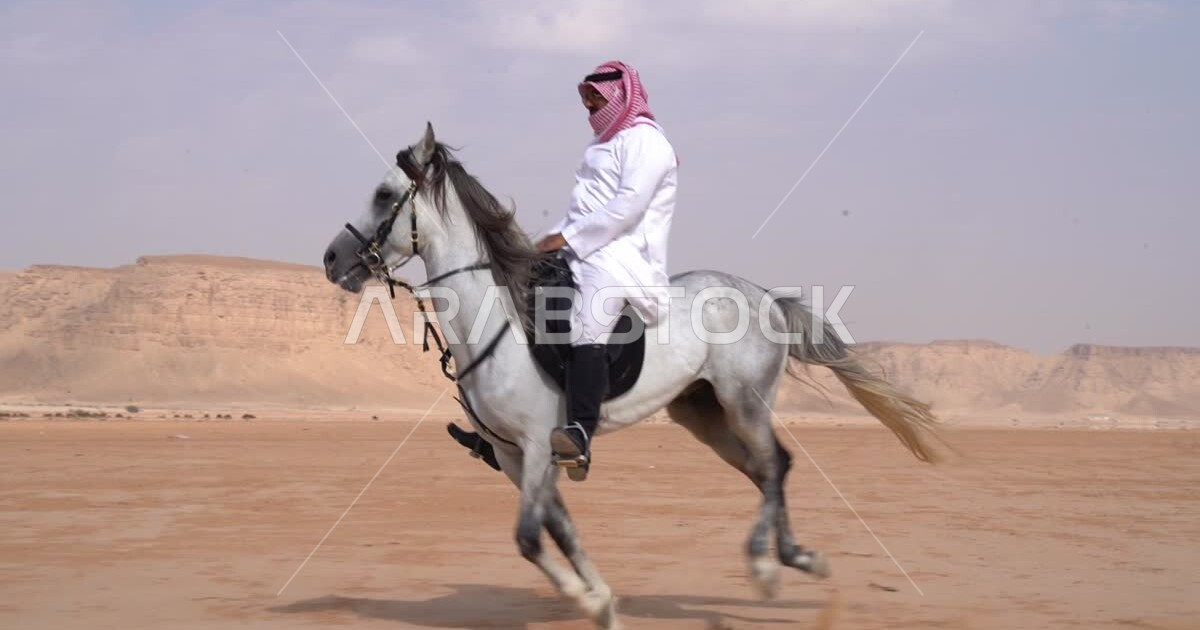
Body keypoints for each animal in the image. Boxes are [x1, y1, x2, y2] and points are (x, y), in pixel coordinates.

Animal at [322, 123, 945, 629]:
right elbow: (559, 530)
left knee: (771, 467)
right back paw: (797, 558)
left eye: (384, 194)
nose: (332, 259)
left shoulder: (539, 446)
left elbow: (528, 538)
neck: (496, 320)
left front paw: (587, 599)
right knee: (772, 468)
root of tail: (764, 296)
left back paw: (767, 568)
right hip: (702, 415)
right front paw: (600, 601)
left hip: (744, 403)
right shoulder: (512, 455)